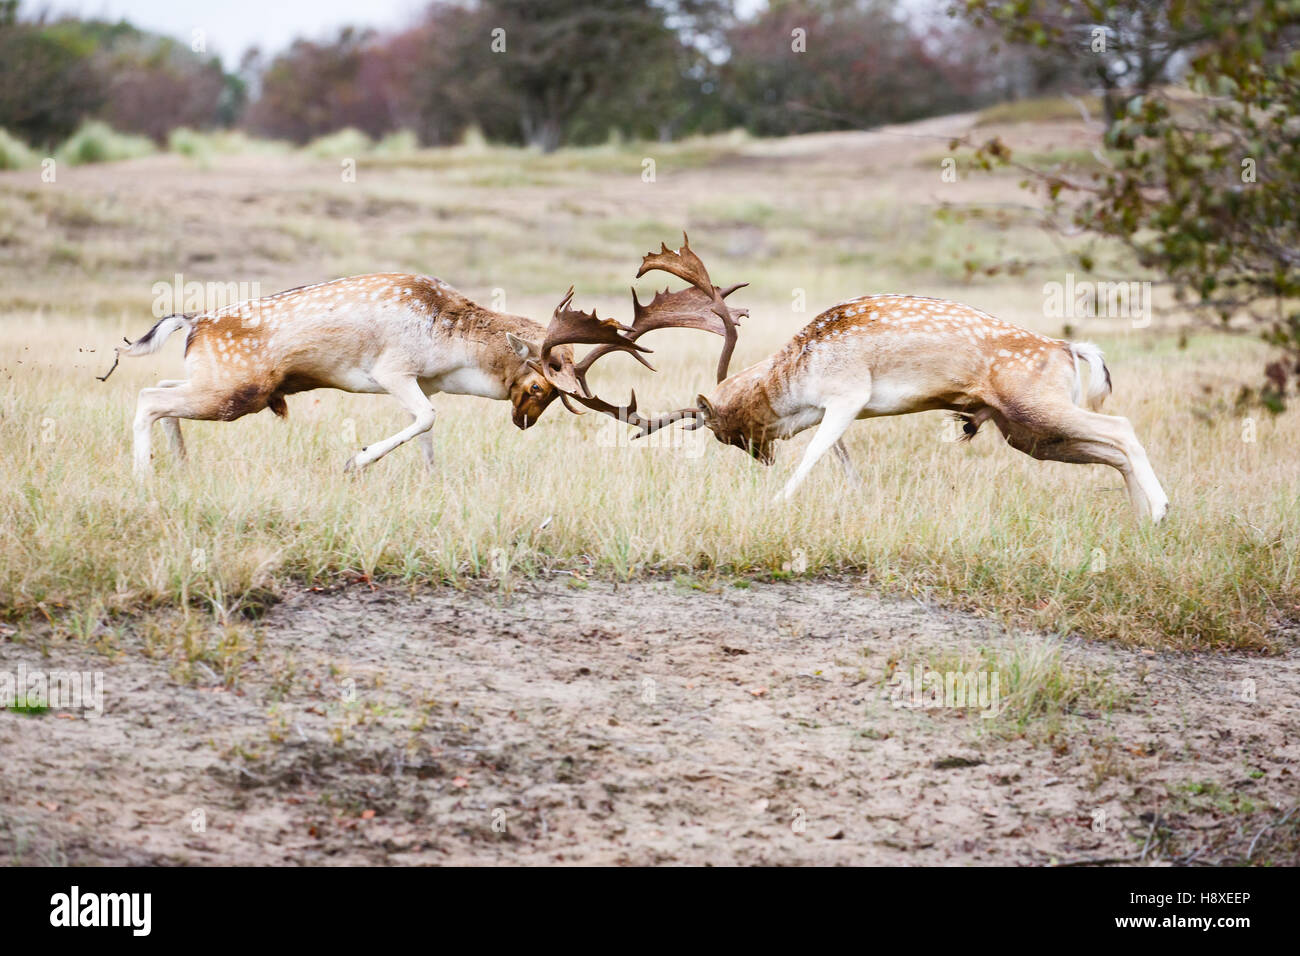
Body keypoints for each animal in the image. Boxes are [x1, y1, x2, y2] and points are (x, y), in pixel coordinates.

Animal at [101, 263, 745, 478]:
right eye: (540, 384)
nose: (523, 423)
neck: (448, 342)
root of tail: (193, 320)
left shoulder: (420, 382)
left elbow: (431, 426)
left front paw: (433, 479)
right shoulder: (392, 372)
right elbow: (429, 417)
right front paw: (355, 461)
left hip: (215, 383)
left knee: (159, 390)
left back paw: (182, 467)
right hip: (238, 389)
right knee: (146, 398)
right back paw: (144, 477)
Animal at [571, 235, 1170, 522]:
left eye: (724, 433)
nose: (761, 460)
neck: (796, 377)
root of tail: (1071, 349)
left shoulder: (847, 394)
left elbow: (817, 452)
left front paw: (778, 504)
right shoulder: (837, 409)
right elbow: (840, 456)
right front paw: (860, 497)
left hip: (1034, 406)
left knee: (1121, 427)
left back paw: (1161, 511)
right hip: (1027, 432)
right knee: (1111, 450)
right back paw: (1144, 521)